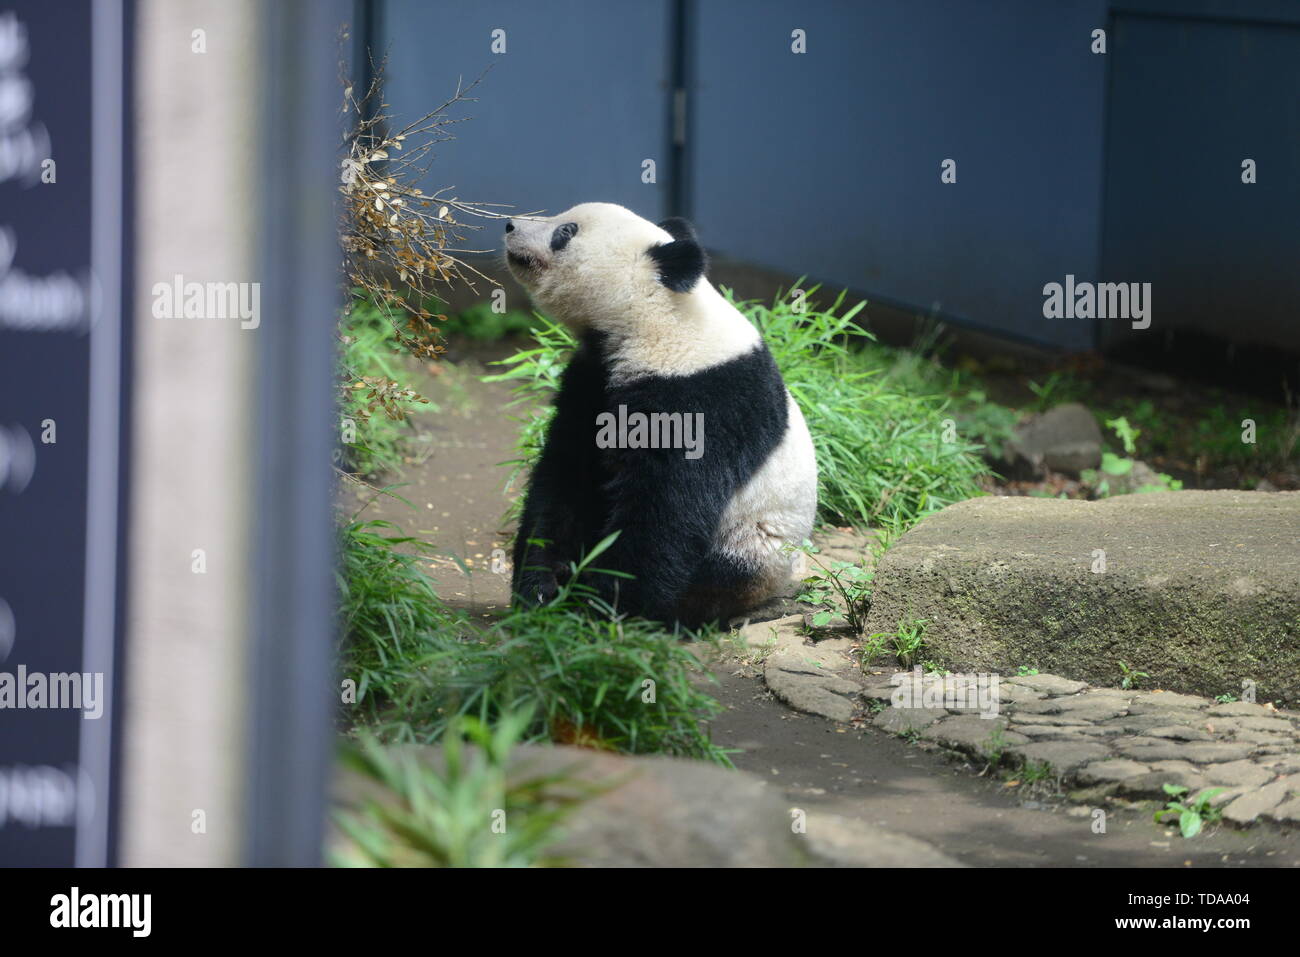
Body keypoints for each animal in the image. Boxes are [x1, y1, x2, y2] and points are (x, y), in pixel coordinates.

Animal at [504, 202, 817, 628]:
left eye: (566, 232)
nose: (510, 225)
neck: (657, 318)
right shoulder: (592, 378)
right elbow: (565, 476)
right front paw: (540, 590)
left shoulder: (702, 399)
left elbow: (666, 509)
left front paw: (600, 611)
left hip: (749, 549)